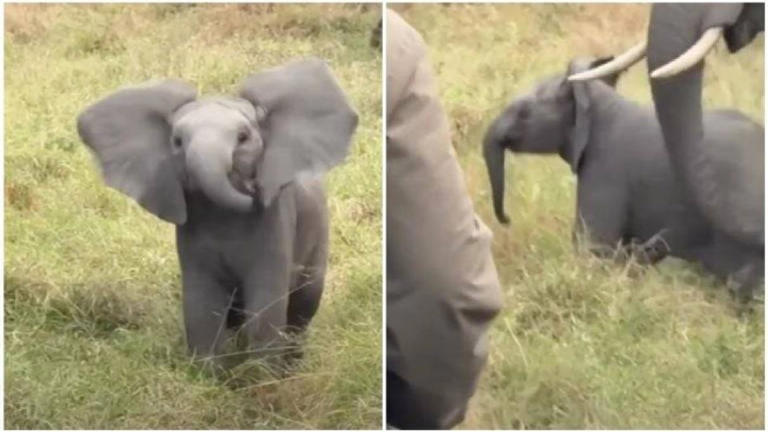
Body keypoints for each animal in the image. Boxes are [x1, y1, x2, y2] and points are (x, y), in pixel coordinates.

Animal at [77, 58, 358, 366]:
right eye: (177, 141)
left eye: (243, 137)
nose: (254, 186)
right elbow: (202, 304)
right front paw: (207, 373)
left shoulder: (277, 221)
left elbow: (265, 303)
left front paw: (262, 376)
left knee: (303, 307)